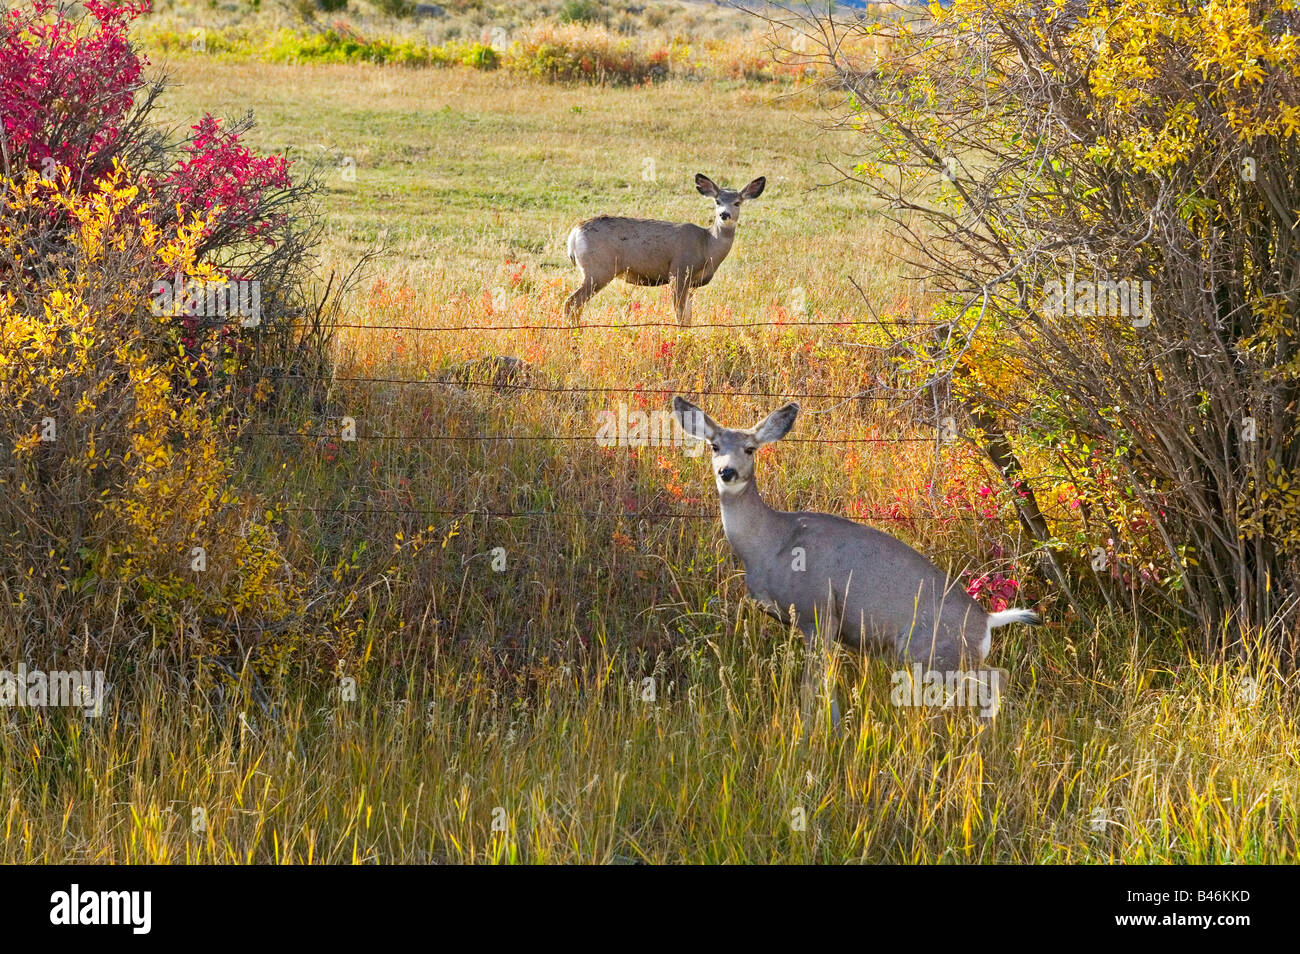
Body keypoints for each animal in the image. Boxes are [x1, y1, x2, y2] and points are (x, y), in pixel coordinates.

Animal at [563, 173, 766, 326]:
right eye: (717, 201)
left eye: (738, 202)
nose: (725, 214)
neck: (707, 246)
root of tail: (575, 232)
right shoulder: (679, 270)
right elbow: (680, 316)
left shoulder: (691, 283)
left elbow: (688, 317)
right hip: (599, 269)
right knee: (571, 302)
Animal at [672, 396, 1040, 729]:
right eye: (715, 445)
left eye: (750, 448)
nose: (727, 471)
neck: (770, 543)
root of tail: (988, 622)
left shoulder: (818, 611)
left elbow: (814, 683)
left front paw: (817, 732)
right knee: (994, 678)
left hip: (931, 652)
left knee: (993, 679)